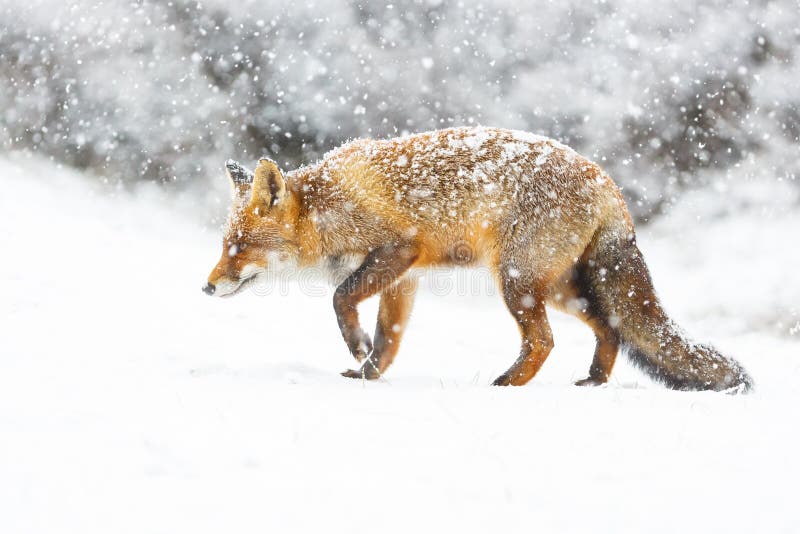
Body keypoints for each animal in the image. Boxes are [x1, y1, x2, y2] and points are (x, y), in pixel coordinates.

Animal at [203, 126, 752, 392]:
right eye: (224, 245)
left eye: (240, 248)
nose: (206, 287)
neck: (329, 209)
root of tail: (607, 182)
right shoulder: (404, 278)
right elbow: (389, 339)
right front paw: (368, 376)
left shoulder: (400, 248)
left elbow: (340, 299)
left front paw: (356, 348)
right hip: (561, 288)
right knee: (611, 328)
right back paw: (594, 381)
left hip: (516, 281)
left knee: (544, 341)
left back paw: (506, 386)